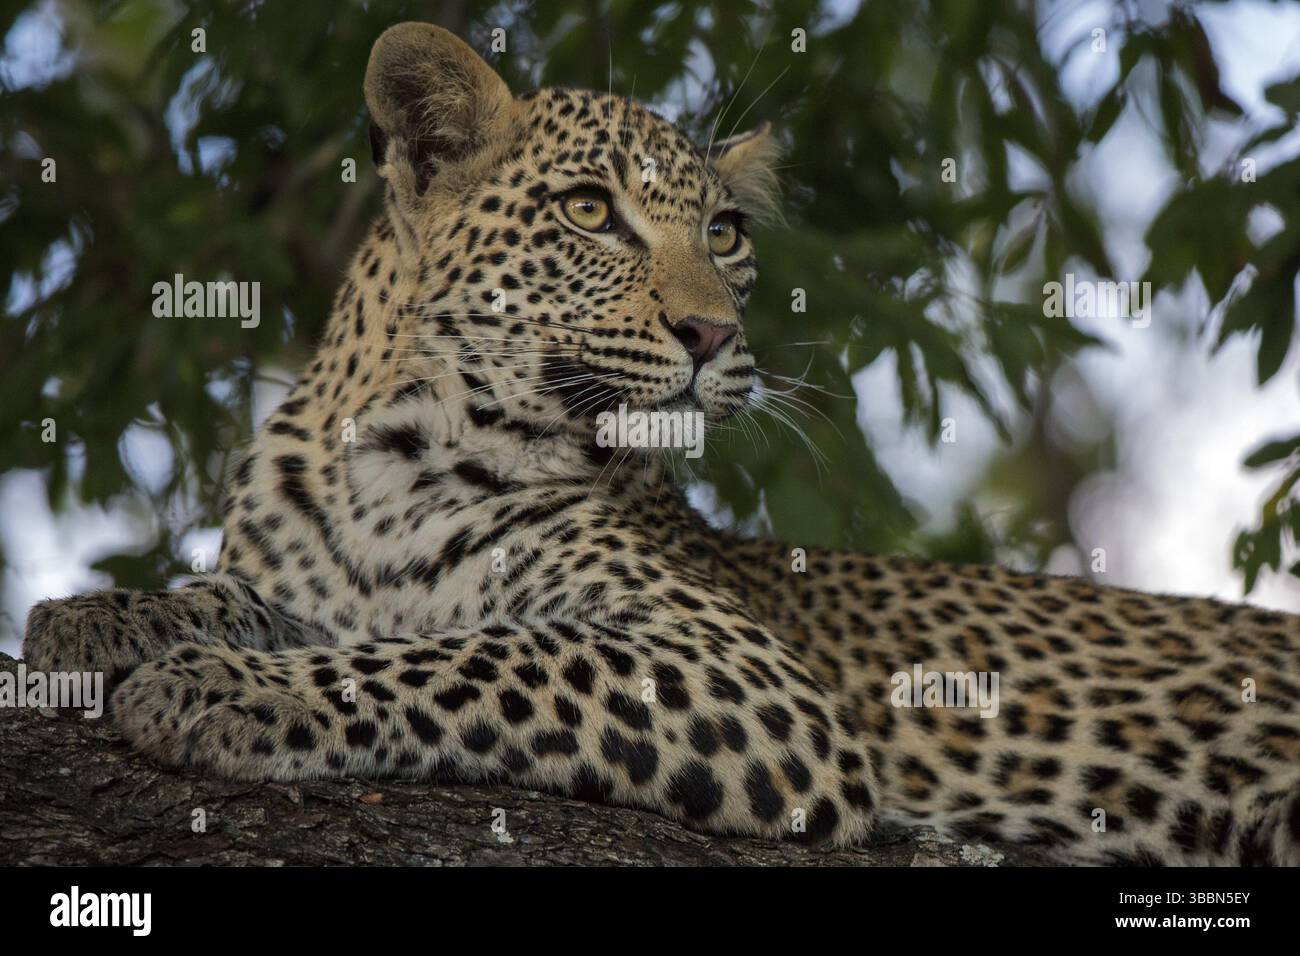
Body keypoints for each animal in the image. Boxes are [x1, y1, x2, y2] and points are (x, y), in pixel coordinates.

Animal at [22, 21, 1300, 865]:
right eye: (592, 212)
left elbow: (469, 658)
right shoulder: (332, 581)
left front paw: (218, 687)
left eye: (725, 233)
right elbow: (263, 601)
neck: (390, 459)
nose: (714, 332)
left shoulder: (744, 675)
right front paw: (103, 617)